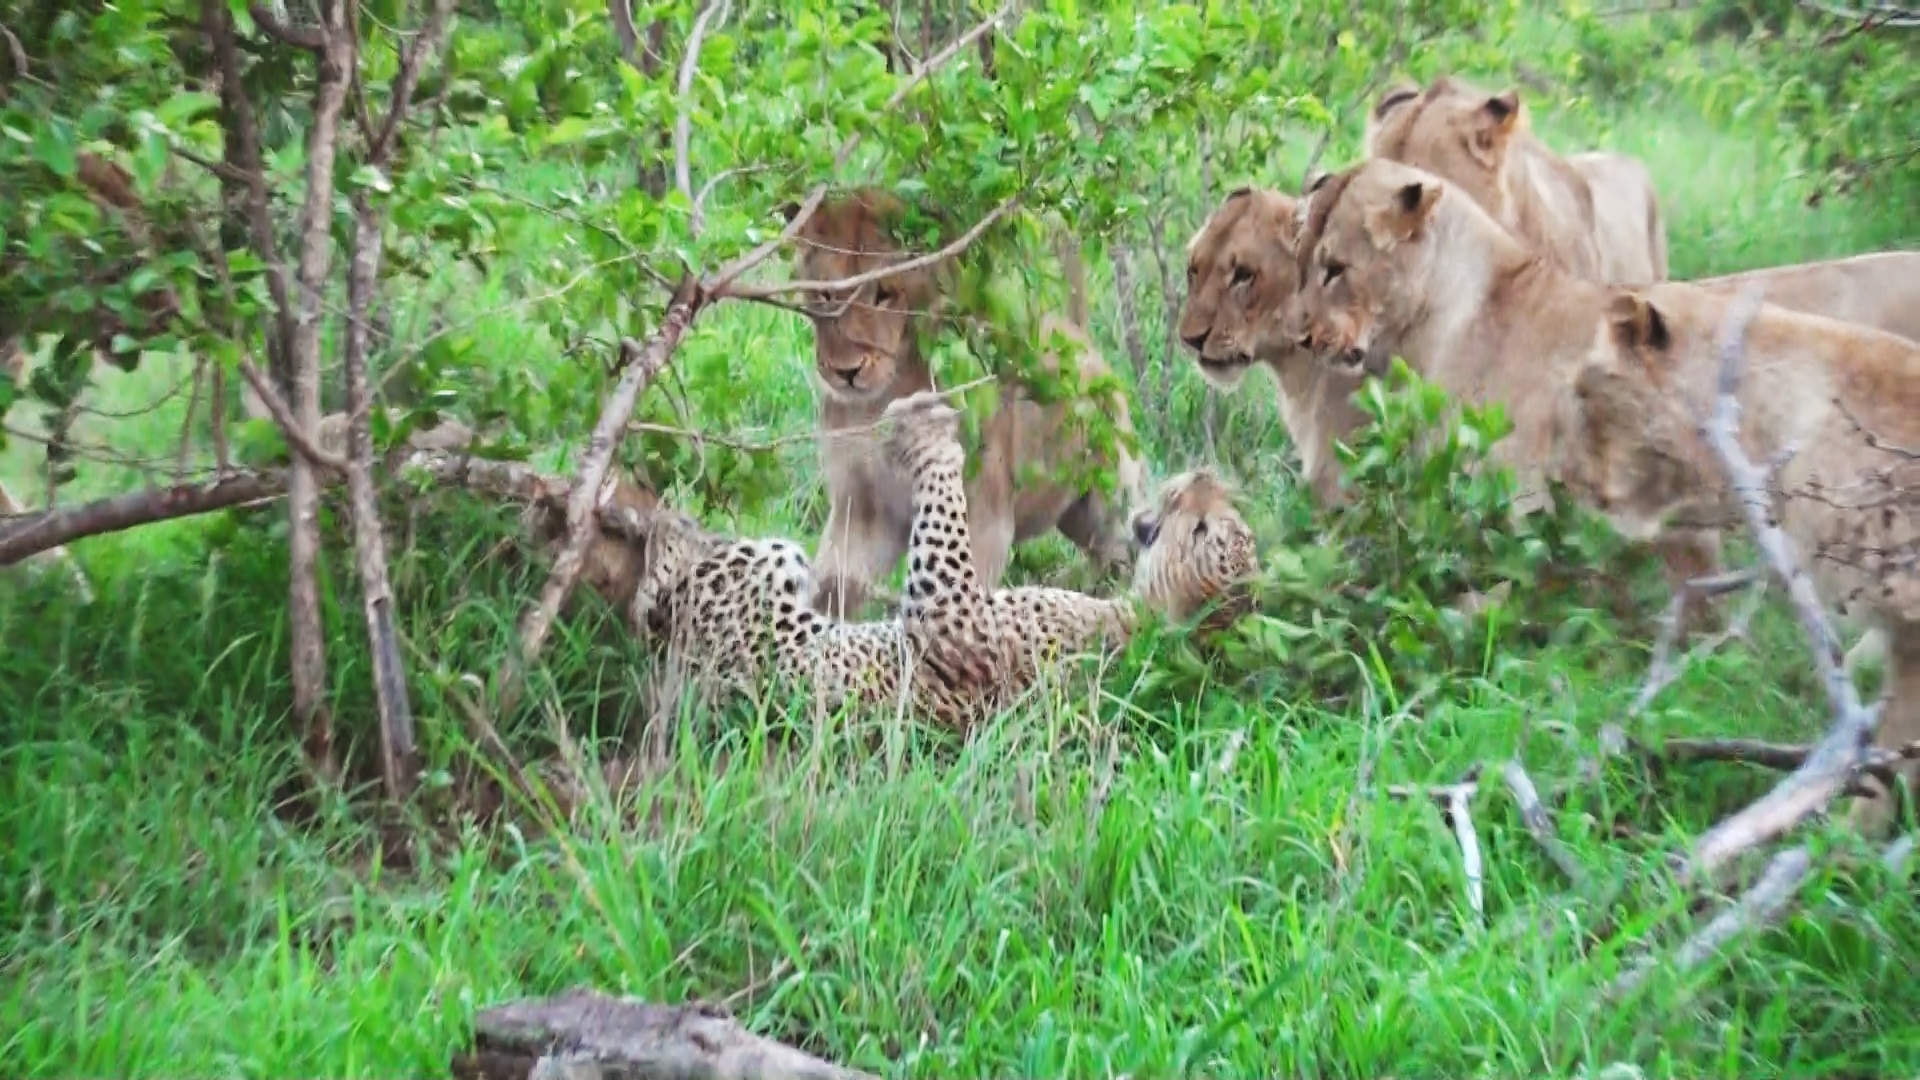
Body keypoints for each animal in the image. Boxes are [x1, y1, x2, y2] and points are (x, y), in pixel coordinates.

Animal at [784, 189, 1147, 620]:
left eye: (885, 293)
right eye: (826, 294)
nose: (846, 371)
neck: (878, 403)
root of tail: (1079, 337)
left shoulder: (985, 514)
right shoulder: (863, 508)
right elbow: (833, 587)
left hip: (1112, 507)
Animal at [1286, 156, 1920, 832]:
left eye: (1335, 268)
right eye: (1300, 263)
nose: (1301, 338)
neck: (1446, 318)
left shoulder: (1522, 516)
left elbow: (1471, 618)